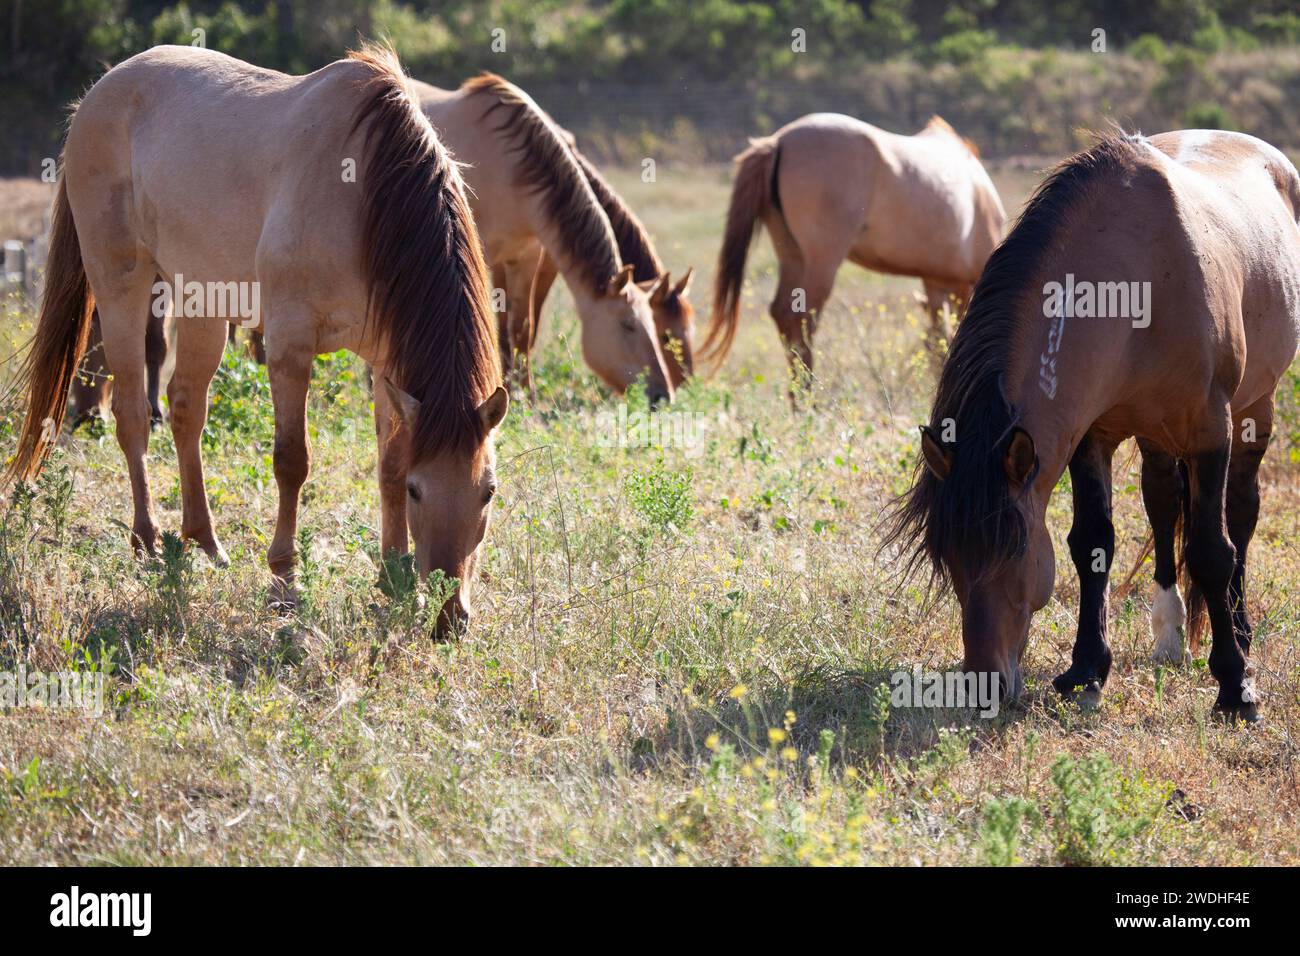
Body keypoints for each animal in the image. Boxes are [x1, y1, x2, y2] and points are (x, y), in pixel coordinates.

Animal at [6, 43, 508, 633]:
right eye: (419, 491)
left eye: (488, 492)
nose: (452, 618)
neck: (365, 197)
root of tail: (97, 95)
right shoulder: (290, 346)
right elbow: (293, 461)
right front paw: (284, 581)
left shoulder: (388, 363)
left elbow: (387, 462)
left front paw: (390, 581)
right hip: (121, 283)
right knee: (131, 411)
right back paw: (147, 540)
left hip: (200, 300)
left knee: (185, 408)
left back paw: (203, 542)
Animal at [415, 73, 673, 402]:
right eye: (627, 325)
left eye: (655, 327)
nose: (662, 395)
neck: (508, 166)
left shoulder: (525, 258)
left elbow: (521, 330)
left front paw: (525, 394)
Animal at [702, 113, 1005, 379]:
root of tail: (778, 142)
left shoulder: (936, 284)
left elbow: (941, 335)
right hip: (822, 263)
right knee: (801, 320)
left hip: (792, 256)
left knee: (783, 317)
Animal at [884, 130, 1300, 724]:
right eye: (949, 560)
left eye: (1014, 551)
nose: (983, 687)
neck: (1139, 285)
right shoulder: (1091, 438)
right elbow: (1091, 544)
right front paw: (1085, 671)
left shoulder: (1209, 432)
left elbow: (1212, 552)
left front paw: (1235, 687)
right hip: (1155, 435)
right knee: (1162, 504)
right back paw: (1169, 635)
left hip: (1254, 411)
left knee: (1240, 516)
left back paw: (1240, 632)